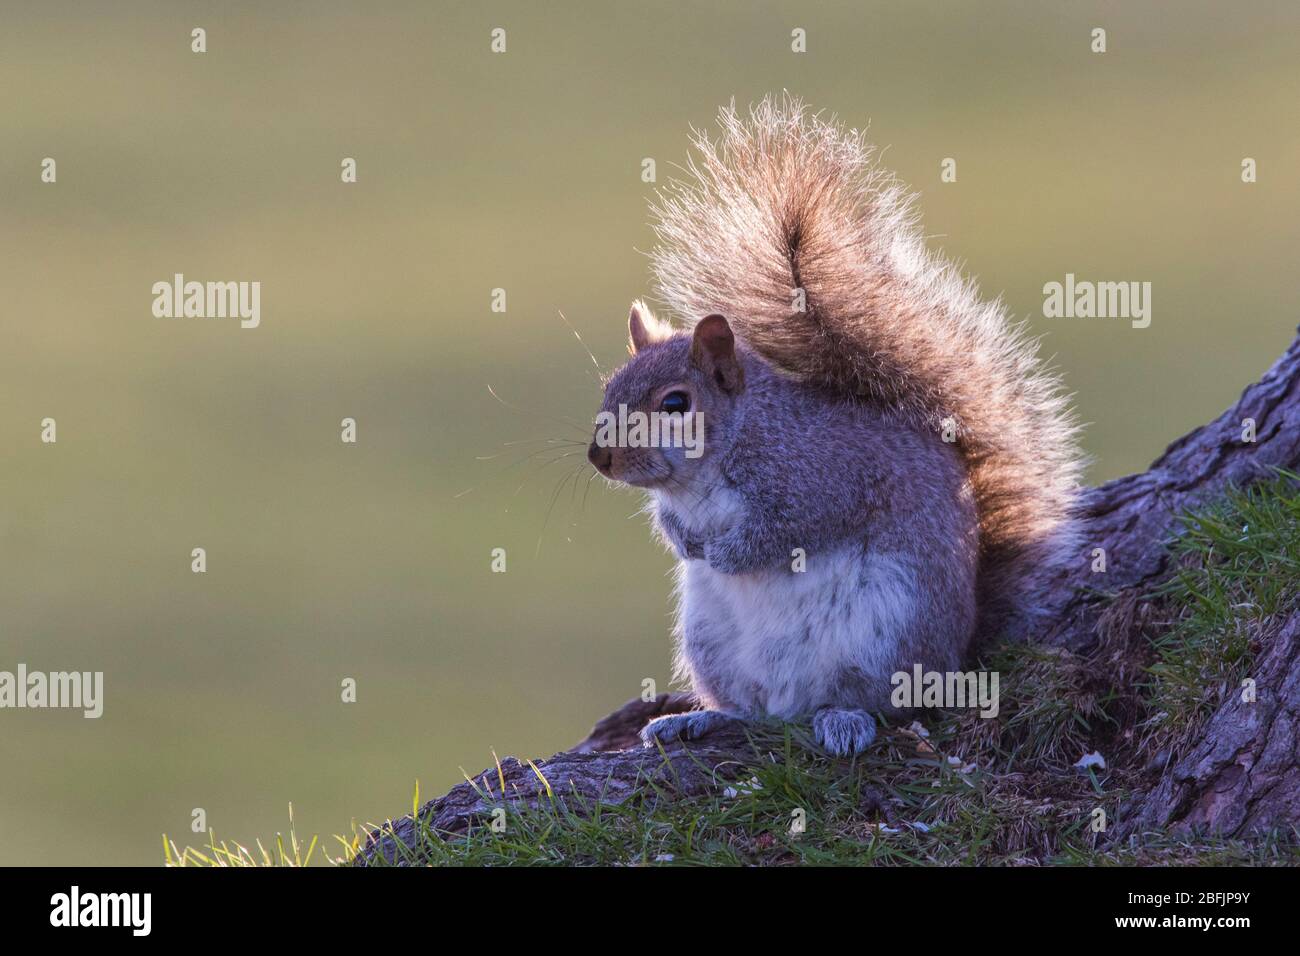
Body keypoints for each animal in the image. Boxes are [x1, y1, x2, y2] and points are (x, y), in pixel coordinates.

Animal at [586, 95, 1083, 756]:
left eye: (674, 404)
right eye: (609, 387)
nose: (601, 458)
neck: (710, 470)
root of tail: (957, 652)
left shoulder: (822, 479)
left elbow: (784, 532)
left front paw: (726, 552)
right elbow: (672, 524)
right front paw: (684, 542)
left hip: (887, 630)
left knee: (876, 703)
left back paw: (843, 718)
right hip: (712, 643)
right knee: (755, 710)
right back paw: (702, 718)